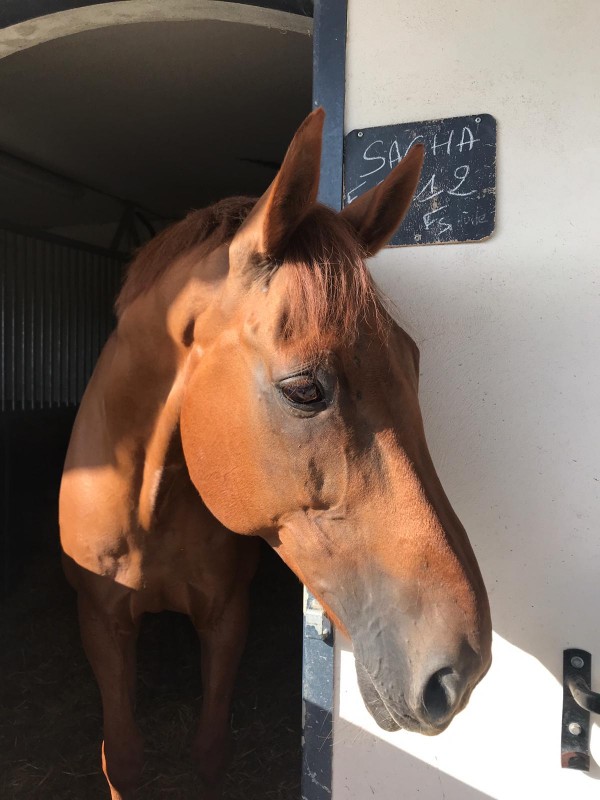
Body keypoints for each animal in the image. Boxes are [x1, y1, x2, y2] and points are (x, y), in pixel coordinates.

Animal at [59, 108, 492, 800]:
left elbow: (210, 751)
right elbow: (121, 758)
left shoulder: (226, 617)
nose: (461, 669)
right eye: (304, 389)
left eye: (414, 362)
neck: (152, 505)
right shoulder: (100, 622)